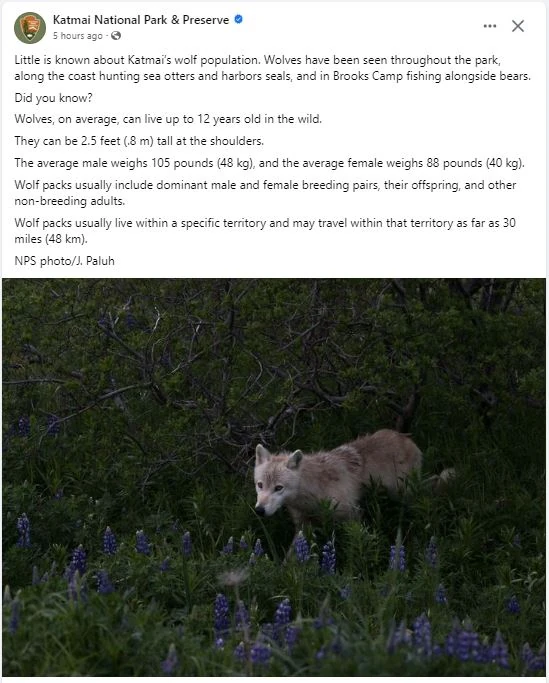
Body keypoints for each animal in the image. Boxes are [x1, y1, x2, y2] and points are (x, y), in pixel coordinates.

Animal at [254, 429, 423, 528]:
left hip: (404, 495)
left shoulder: (352, 515)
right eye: (260, 485)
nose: (259, 510)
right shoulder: (303, 525)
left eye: (278, 488)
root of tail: (406, 438)